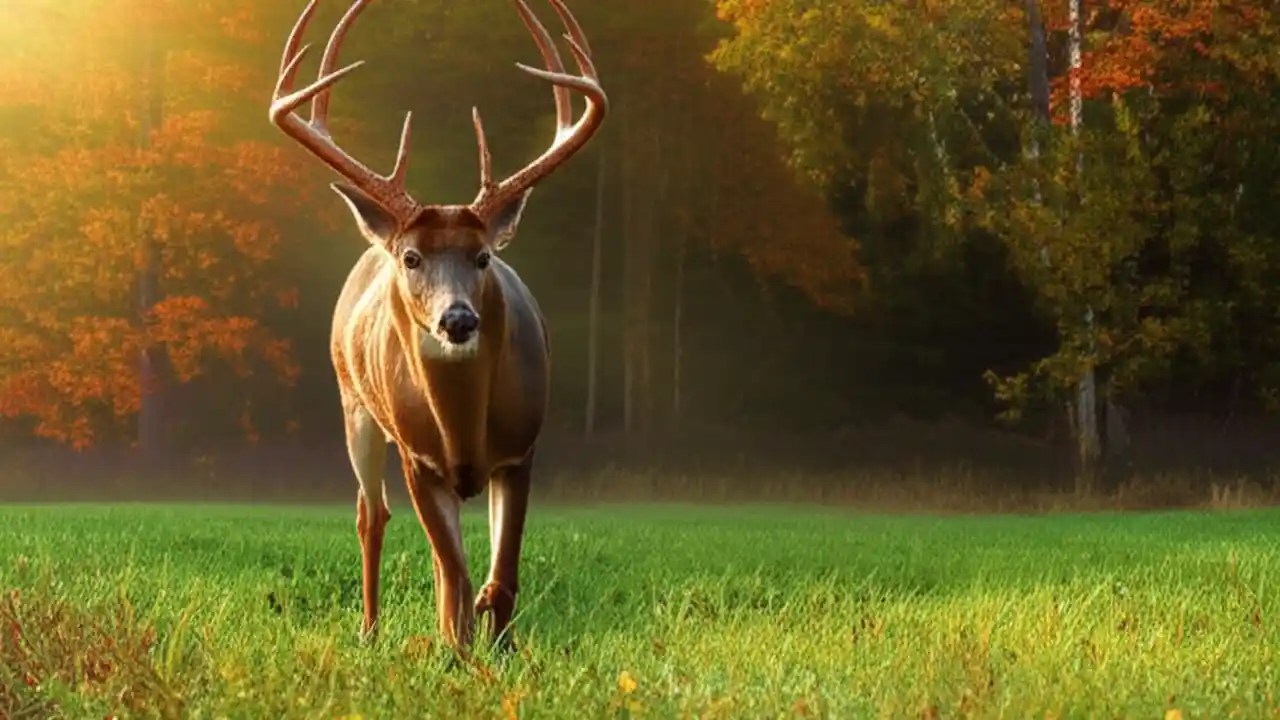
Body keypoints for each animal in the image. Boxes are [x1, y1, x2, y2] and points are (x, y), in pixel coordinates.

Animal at [267, 0, 607, 651]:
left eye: (483, 257)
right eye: (412, 257)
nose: (457, 318)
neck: (463, 426)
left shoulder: (521, 452)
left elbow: (498, 578)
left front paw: (499, 649)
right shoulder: (417, 457)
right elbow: (456, 575)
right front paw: (458, 649)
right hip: (354, 405)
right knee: (371, 514)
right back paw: (371, 630)